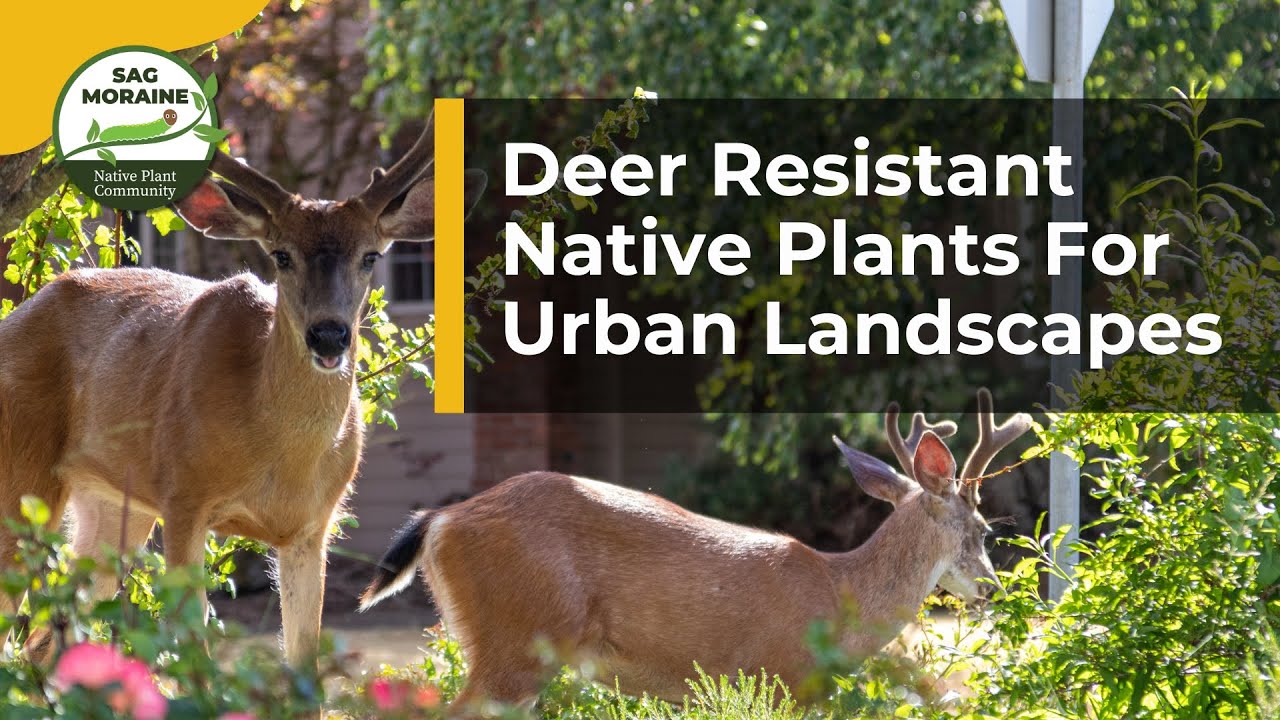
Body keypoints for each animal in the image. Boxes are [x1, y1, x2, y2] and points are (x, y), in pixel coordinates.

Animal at [0, 114, 485, 668]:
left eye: (370, 256)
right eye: (282, 255)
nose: (329, 335)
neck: (278, 455)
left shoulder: (313, 528)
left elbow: (304, 663)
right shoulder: (183, 498)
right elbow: (195, 654)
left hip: (111, 506)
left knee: (41, 641)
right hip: (23, 469)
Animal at [360, 389, 1033, 712]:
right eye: (984, 529)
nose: (992, 587)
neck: (841, 599)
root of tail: (443, 518)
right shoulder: (779, 677)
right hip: (517, 636)